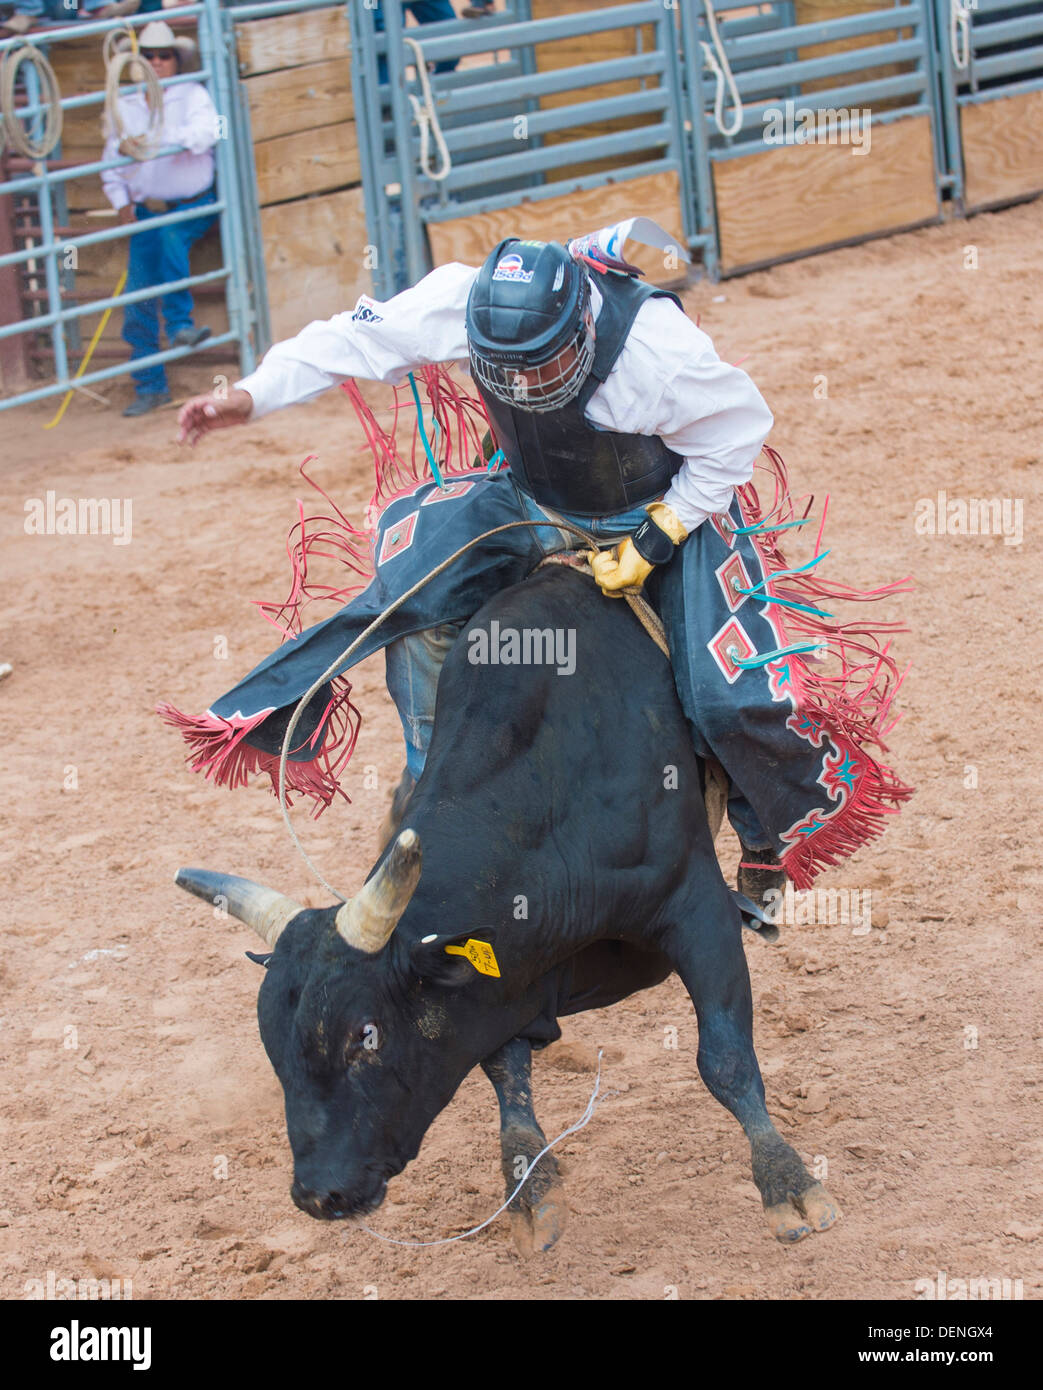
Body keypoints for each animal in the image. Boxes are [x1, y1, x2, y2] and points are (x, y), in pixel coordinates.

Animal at [176, 564, 840, 1254]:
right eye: (272, 1043)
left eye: (367, 1033)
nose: (317, 1194)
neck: (553, 788)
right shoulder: (498, 980)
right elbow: (505, 1068)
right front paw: (530, 1184)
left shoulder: (696, 907)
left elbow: (725, 1058)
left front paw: (788, 1182)